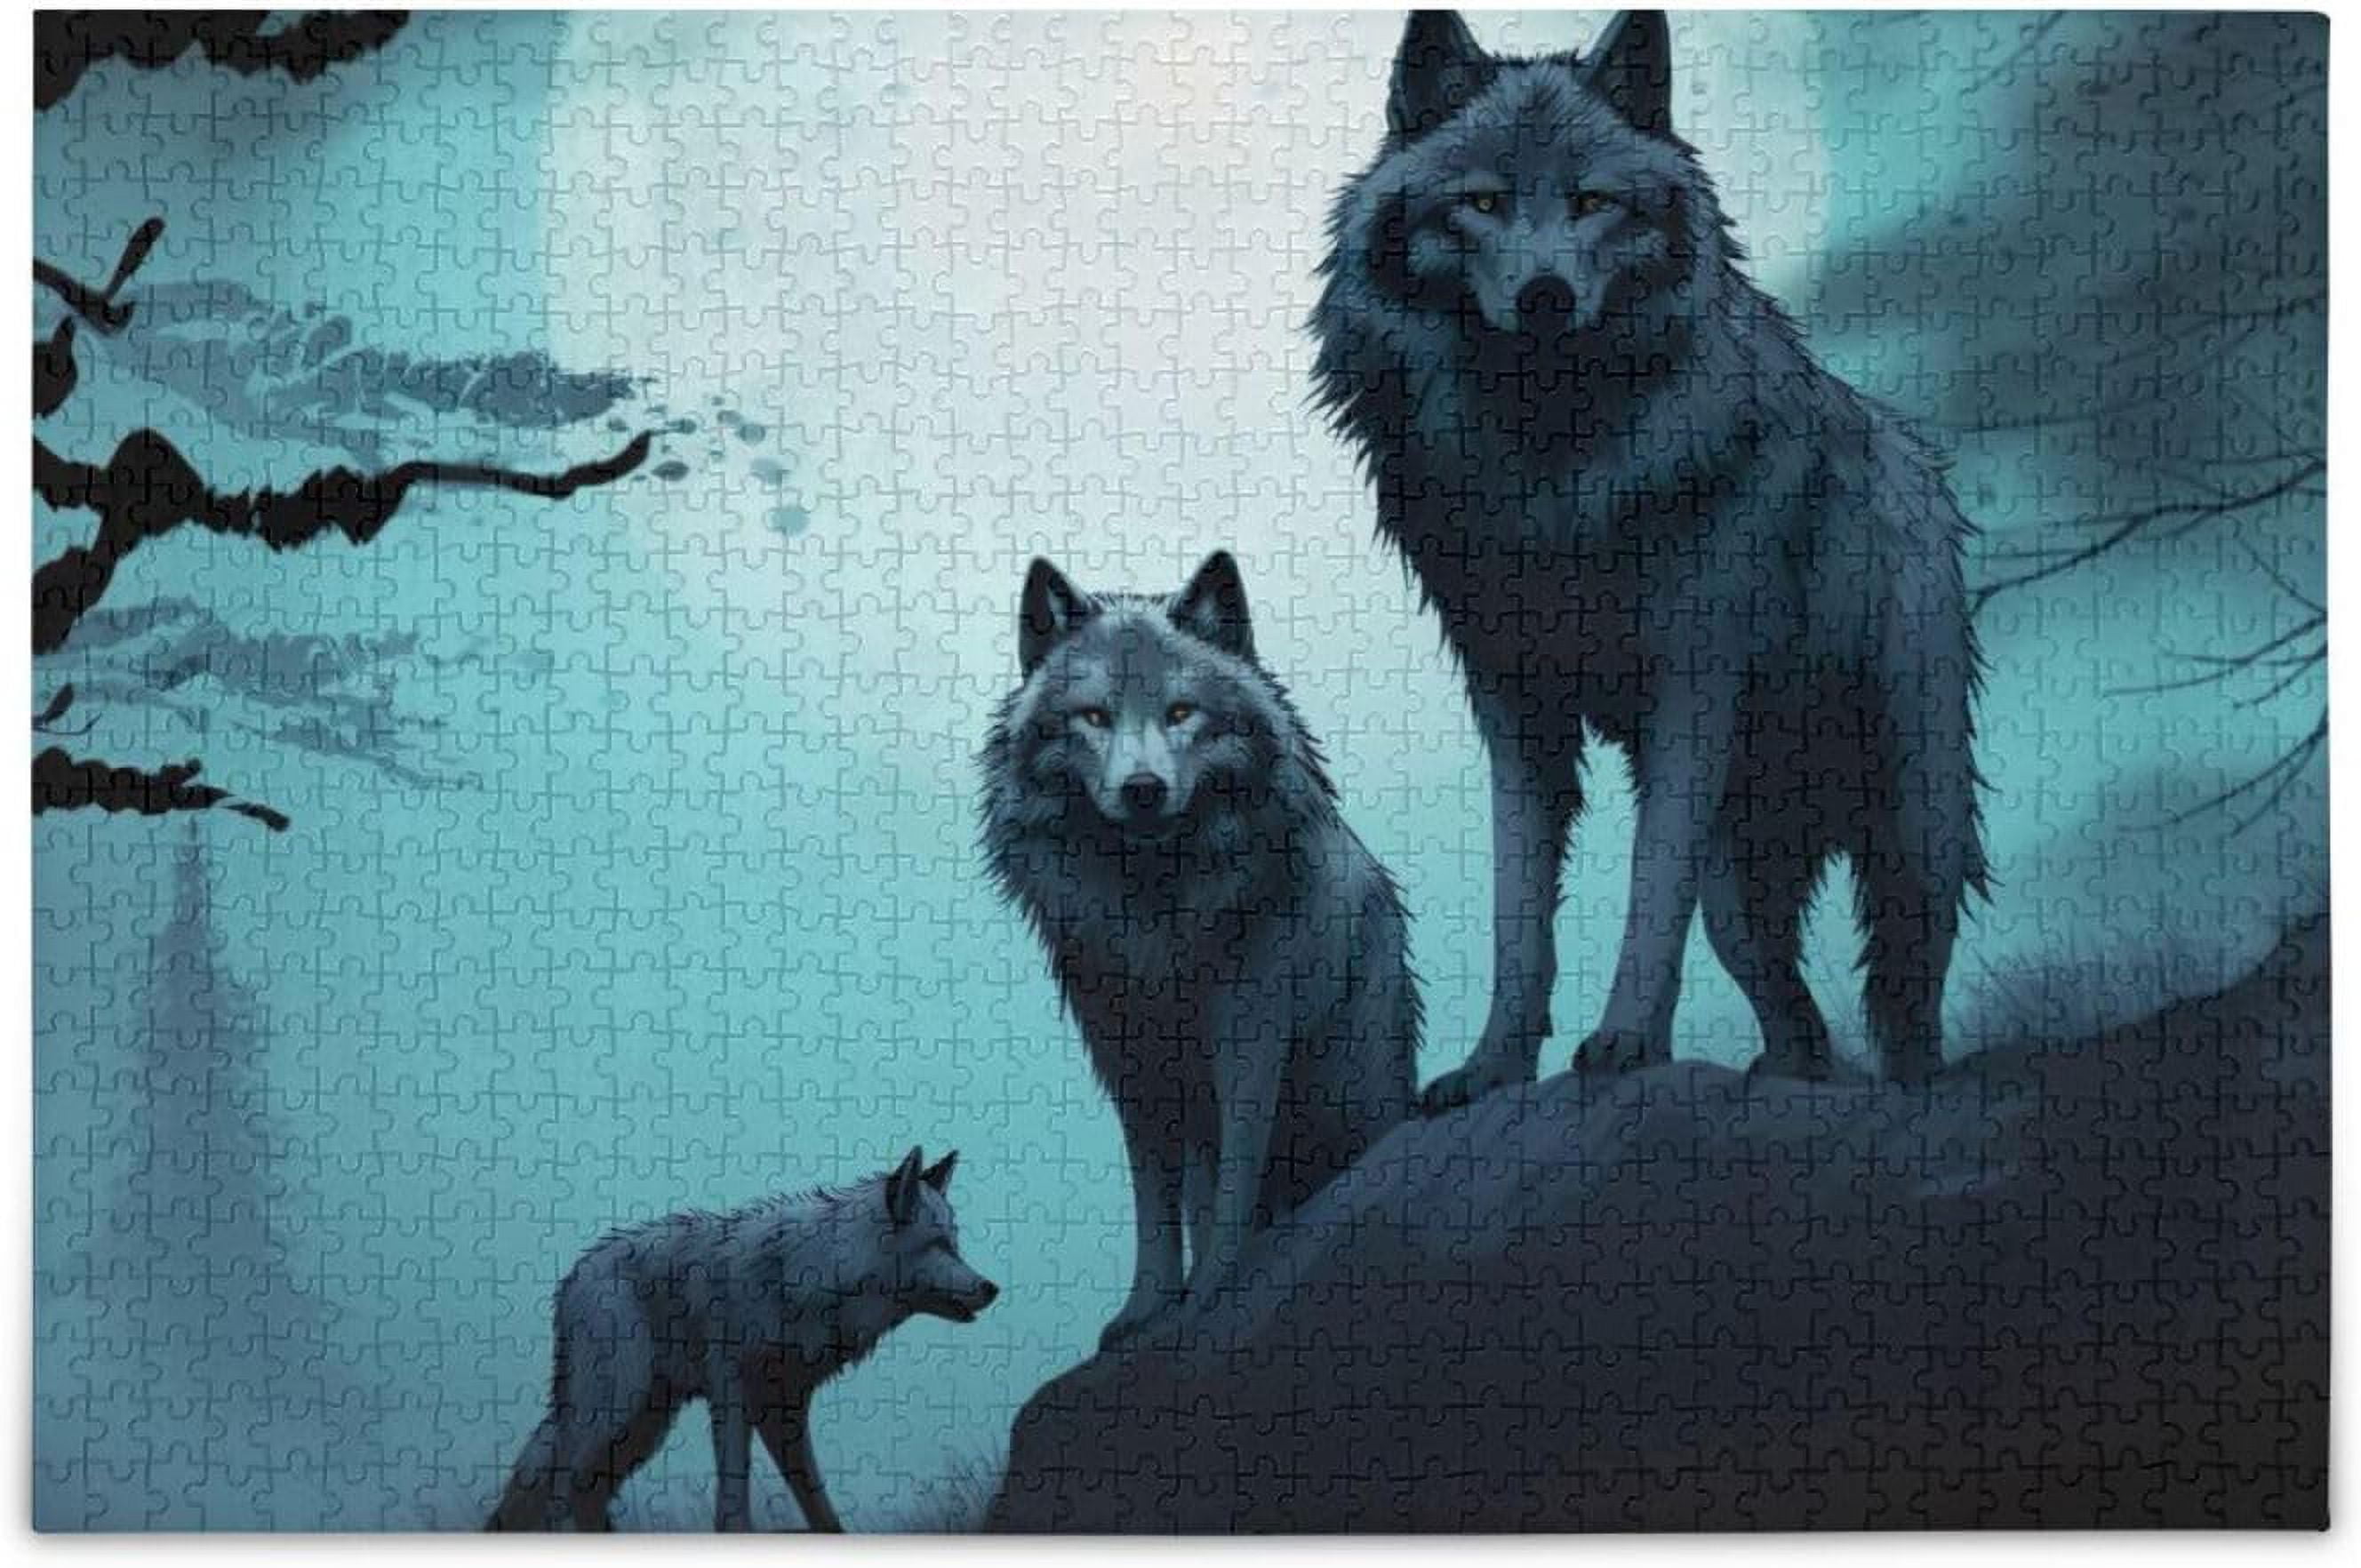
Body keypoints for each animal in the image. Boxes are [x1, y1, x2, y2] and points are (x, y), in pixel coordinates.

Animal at [486, 1147, 995, 1532]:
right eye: (939, 1245)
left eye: (956, 1244)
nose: (991, 1288)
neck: (810, 1278)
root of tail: (576, 1275)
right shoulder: (731, 1392)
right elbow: (734, 1491)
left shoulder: (785, 1407)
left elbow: (818, 1502)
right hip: (615, 1408)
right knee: (561, 1479)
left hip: (643, 1423)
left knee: (579, 1486)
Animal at [980, 550, 1420, 1348]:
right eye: (1094, 716)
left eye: (1183, 713)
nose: (1144, 789)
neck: (1160, 914)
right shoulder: (1127, 1057)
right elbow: (1156, 1202)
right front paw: (1147, 1310)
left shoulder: (1249, 1037)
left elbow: (1238, 1177)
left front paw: (1215, 1289)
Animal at [1310, 9, 1986, 1106]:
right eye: (1482, 202)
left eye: (1593, 202)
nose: (1545, 295)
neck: (1553, 478)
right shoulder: (1516, 710)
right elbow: (1518, 916)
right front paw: (1494, 1066)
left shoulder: (1692, 692)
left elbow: (1647, 886)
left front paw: (1627, 1044)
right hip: (1742, 873)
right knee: (1785, 995)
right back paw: (1789, 1075)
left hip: (1908, 821)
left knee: (1901, 989)